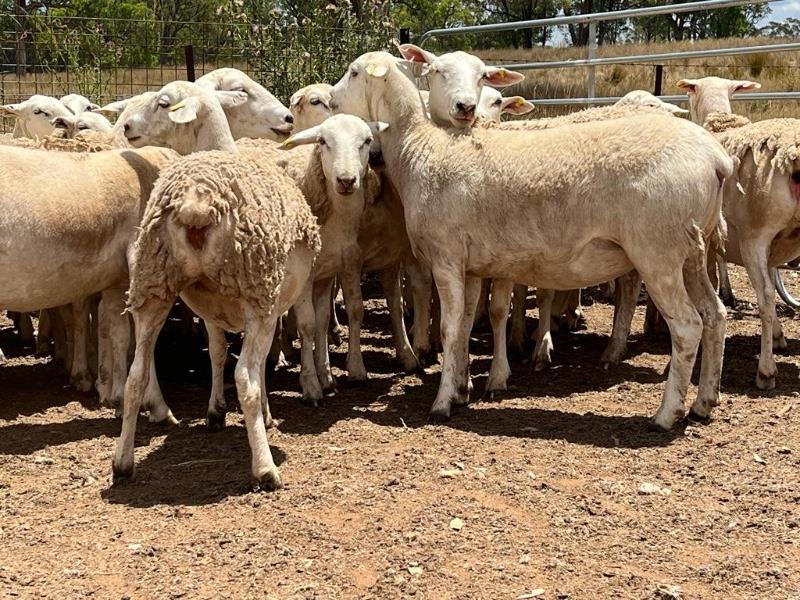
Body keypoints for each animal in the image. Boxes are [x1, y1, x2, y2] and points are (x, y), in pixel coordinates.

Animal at [113, 147, 320, 490]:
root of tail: (195, 205)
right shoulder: (275, 300)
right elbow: (260, 362)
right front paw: (264, 414)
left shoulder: (212, 308)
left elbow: (218, 352)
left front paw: (216, 411)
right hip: (255, 289)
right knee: (245, 377)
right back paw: (265, 469)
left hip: (153, 283)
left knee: (135, 376)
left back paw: (122, 463)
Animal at [330, 51, 732, 429]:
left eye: (353, 72)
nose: (332, 98)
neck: (419, 149)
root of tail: (715, 157)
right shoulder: (471, 267)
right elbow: (464, 327)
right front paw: (461, 390)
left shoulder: (446, 258)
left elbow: (449, 328)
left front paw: (442, 403)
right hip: (692, 251)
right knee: (715, 315)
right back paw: (704, 403)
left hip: (658, 251)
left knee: (687, 326)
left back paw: (666, 414)